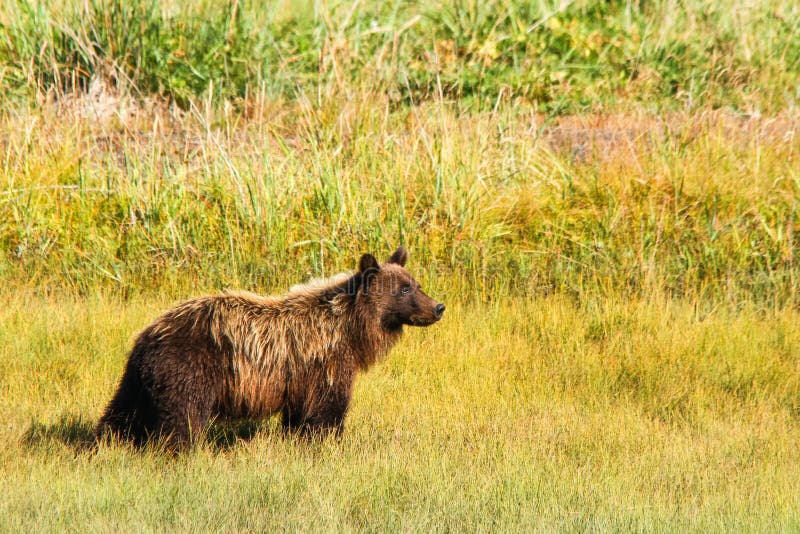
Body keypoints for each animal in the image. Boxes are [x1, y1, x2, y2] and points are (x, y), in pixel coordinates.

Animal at [95, 247, 445, 447]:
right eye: (404, 289)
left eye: (417, 284)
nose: (438, 307)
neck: (350, 329)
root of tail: (149, 333)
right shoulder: (326, 364)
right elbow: (327, 411)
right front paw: (329, 443)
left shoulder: (300, 378)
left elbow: (300, 415)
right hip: (191, 366)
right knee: (182, 416)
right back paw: (179, 449)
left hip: (142, 376)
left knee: (123, 410)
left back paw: (106, 443)